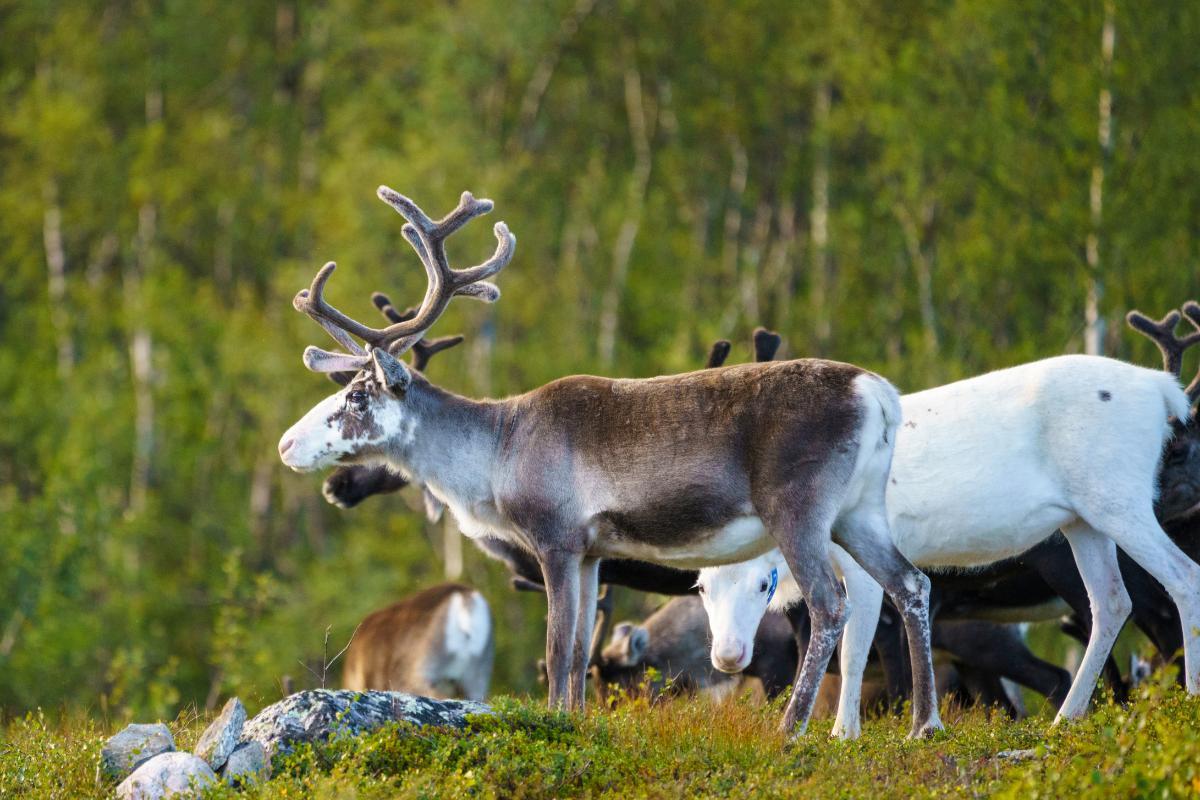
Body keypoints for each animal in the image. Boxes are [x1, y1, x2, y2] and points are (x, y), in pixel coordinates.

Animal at [697, 304, 1200, 738]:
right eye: (701, 586)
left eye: (762, 583)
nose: (727, 655)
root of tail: (1163, 391)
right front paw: (848, 732)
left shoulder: (856, 560)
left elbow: (854, 647)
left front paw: (842, 733)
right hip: (1082, 520)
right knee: (1111, 602)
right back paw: (1066, 717)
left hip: (1119, 499)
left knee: (1181, 578)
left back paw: (1188, 699)